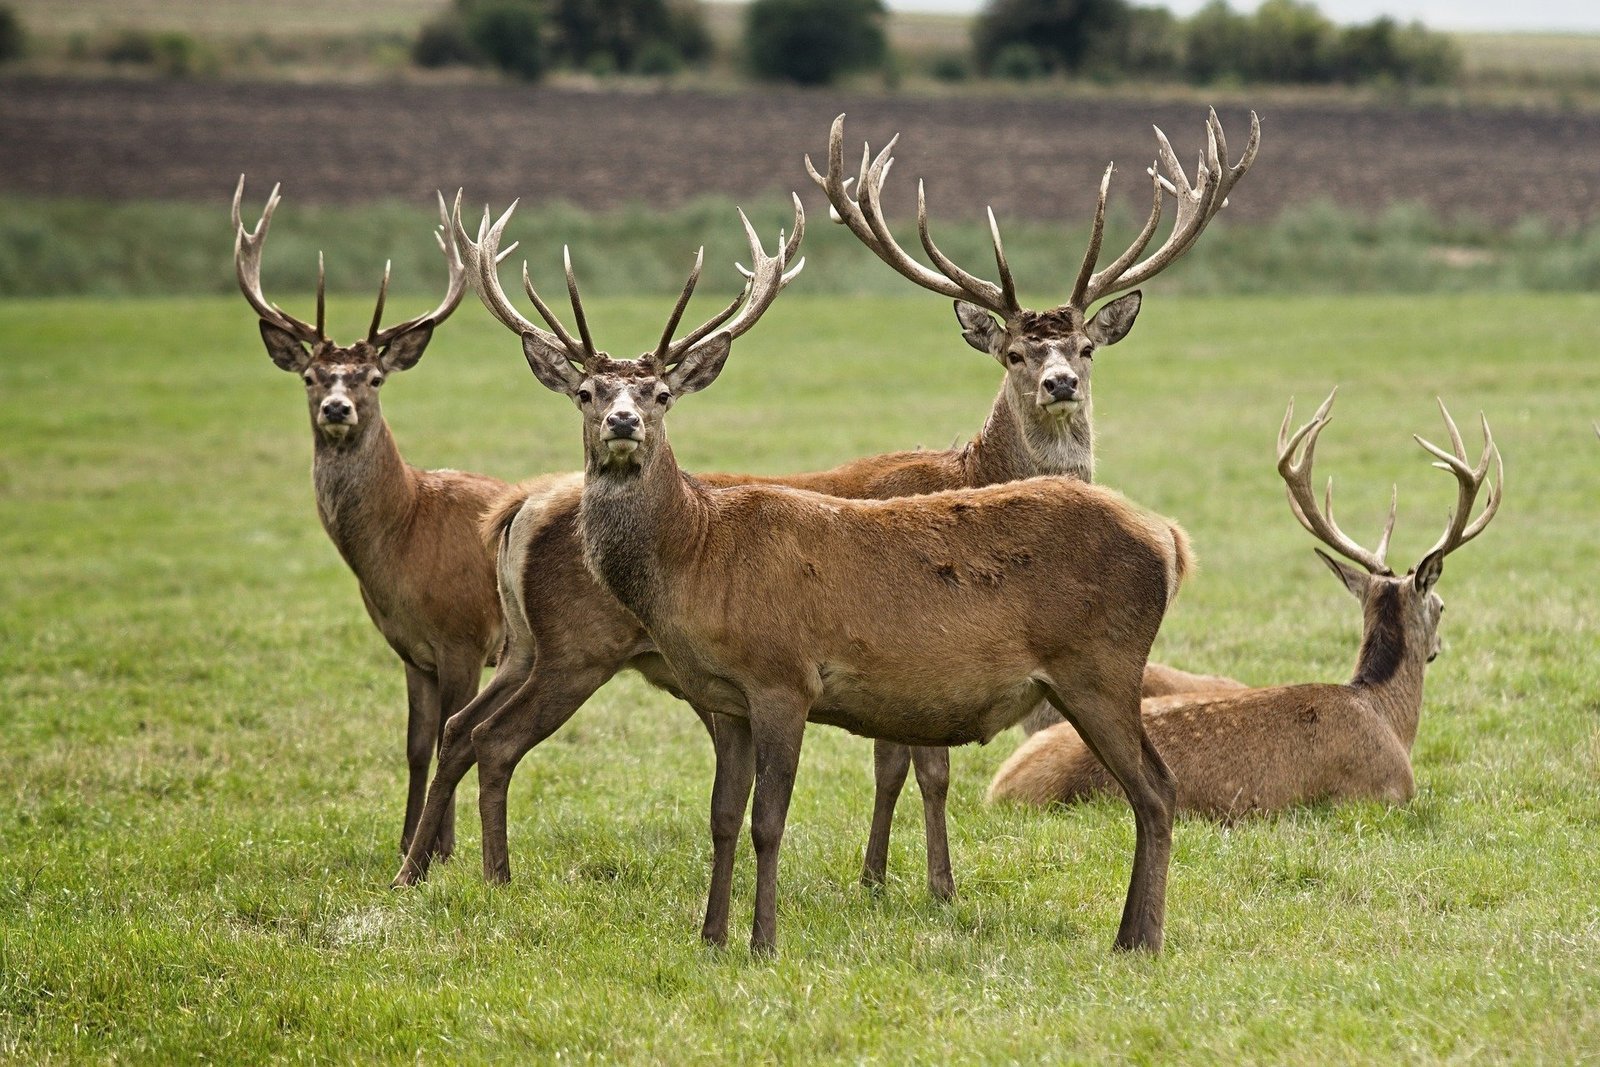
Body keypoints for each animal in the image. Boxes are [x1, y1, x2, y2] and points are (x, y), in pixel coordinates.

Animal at [233, 177, 513, 861]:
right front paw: (408, 840)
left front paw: (440, 850)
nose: (337, 407)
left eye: (375, 377)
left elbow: (450, 738)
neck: (405, 538)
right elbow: (414, 747)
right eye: (311, 376)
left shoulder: (464, 636)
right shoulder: (411, 649)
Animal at [389, 111, 1259, 905]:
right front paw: (926, 884)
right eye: (1015, 351)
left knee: (462, 730)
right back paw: (477, 873)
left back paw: (426, 865)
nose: (1060, 384)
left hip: (526, 644)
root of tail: (518, 508)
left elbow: (895, 761)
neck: (971, 468)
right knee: (492, 740)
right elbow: (920, 765)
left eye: (1085, 346)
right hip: (575, 646)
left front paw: (881, 877)